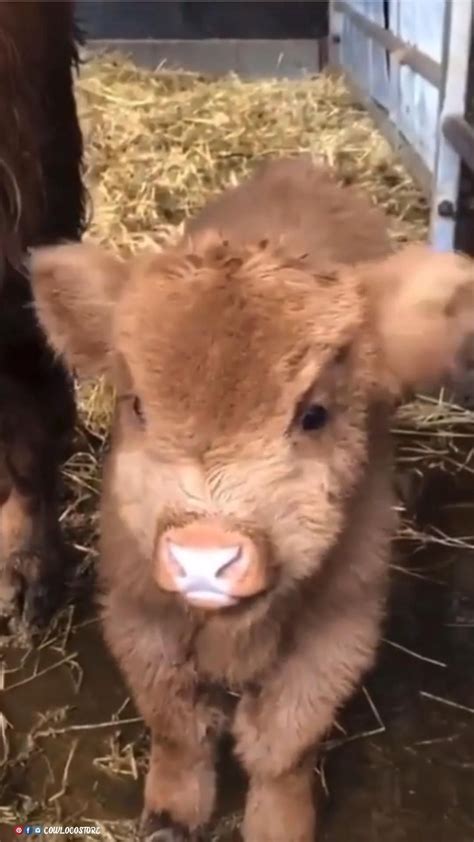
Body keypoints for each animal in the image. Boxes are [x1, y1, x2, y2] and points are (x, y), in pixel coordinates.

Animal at [29, 156, 474, 841]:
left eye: (314, 415)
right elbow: (178, 726)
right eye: (138, 406)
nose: (203, 557)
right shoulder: (138, 612)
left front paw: (279, 821)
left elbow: (284, 744)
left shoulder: (338, 628)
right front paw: (172, 813)